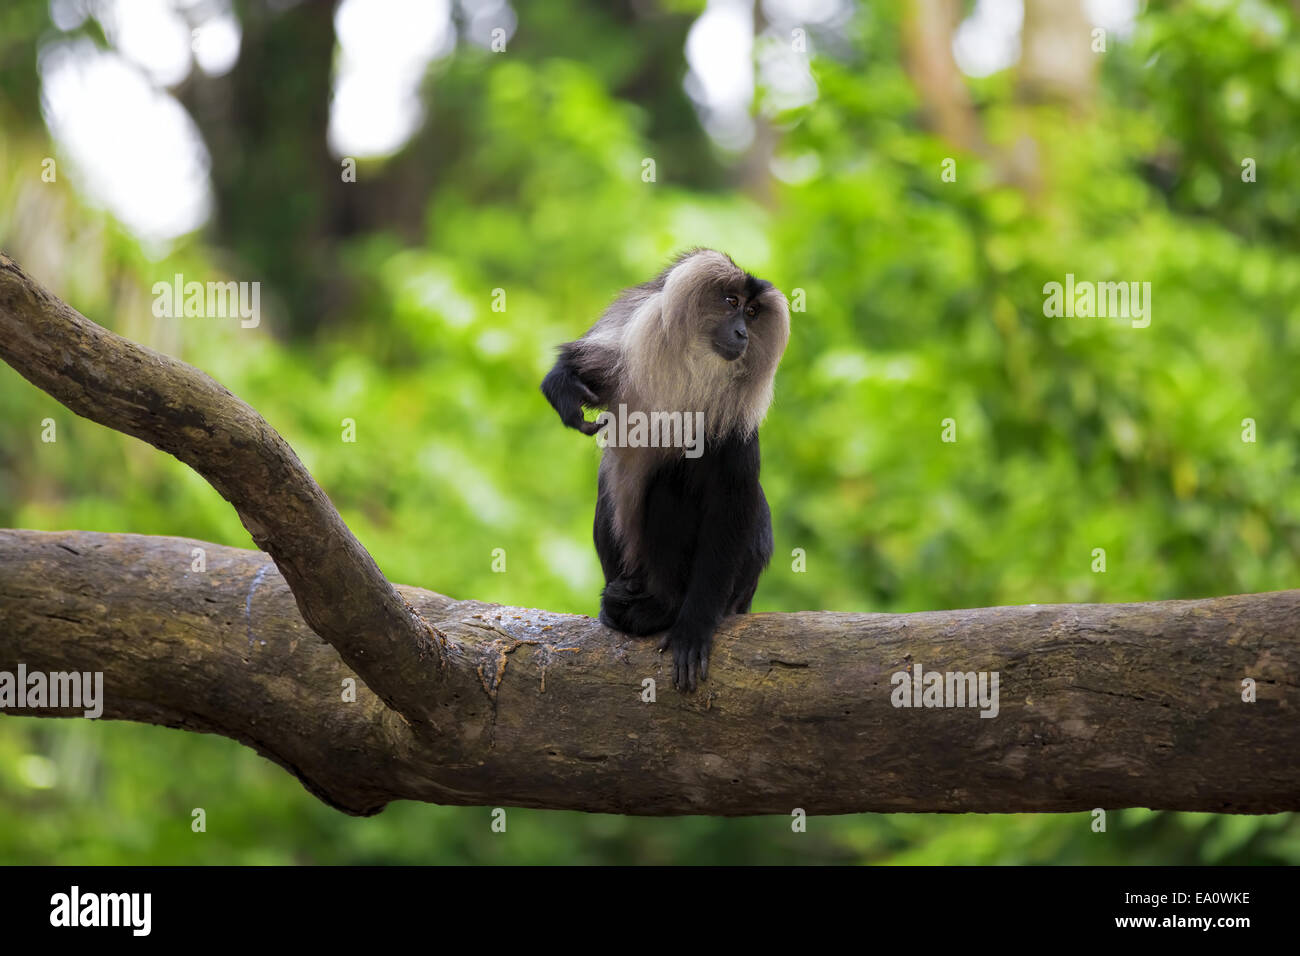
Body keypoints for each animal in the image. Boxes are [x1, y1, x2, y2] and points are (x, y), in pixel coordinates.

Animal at [541, 249, 790, 691]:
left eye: (753, 312)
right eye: (731, 302)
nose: (743, 333)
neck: (692, 378)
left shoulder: (735, 424)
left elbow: (731, 505)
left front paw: (693, 627)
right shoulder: (631, 354)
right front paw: (565, 388)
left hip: (735, 588)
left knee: (671, 487)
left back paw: (663, 609)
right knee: (608, 489)